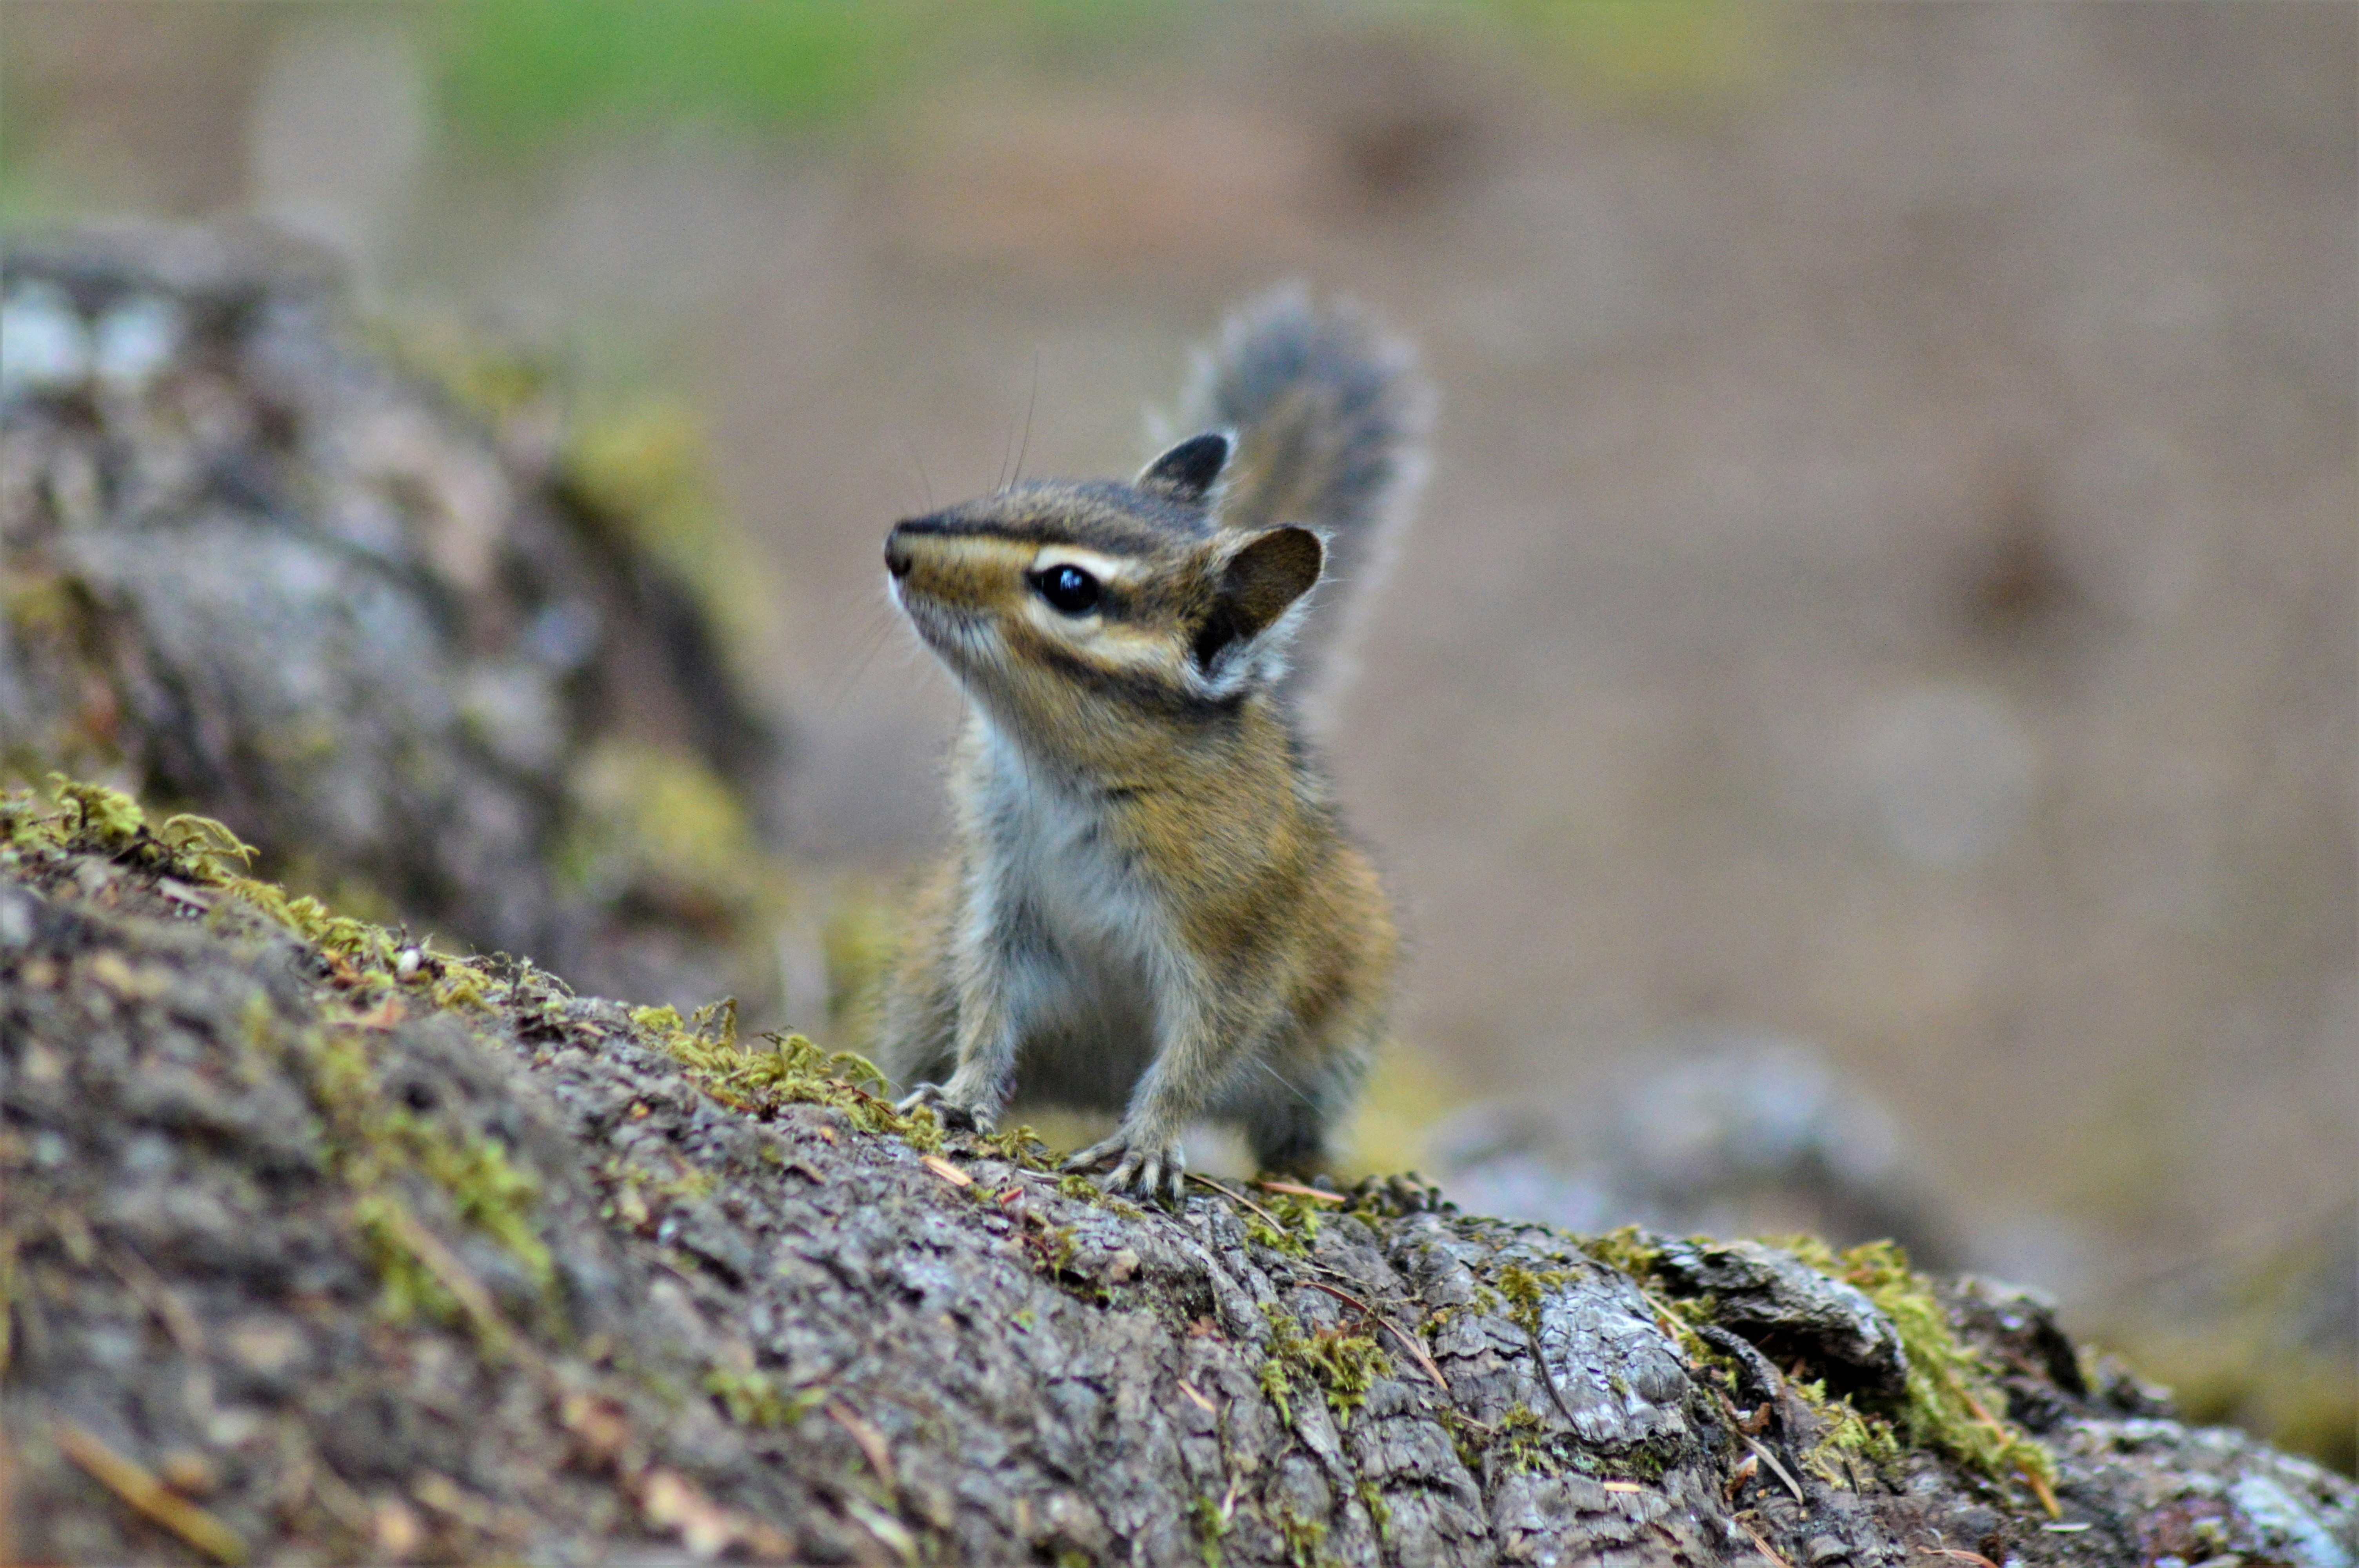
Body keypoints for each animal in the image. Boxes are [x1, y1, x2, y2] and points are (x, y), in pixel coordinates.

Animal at [874, 288, 1430, 1199]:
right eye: (1027, 488)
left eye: (1068, 585)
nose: (896, 546)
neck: (1067, 768)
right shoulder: (1000, 891)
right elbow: (987, 1000)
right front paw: (960, 1096)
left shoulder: (1238, 939)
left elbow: (1201, 1050)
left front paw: (1147, 1142)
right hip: (921, 980)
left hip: (1338, 1032)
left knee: (1293, 1140)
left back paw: (1355, 1181)